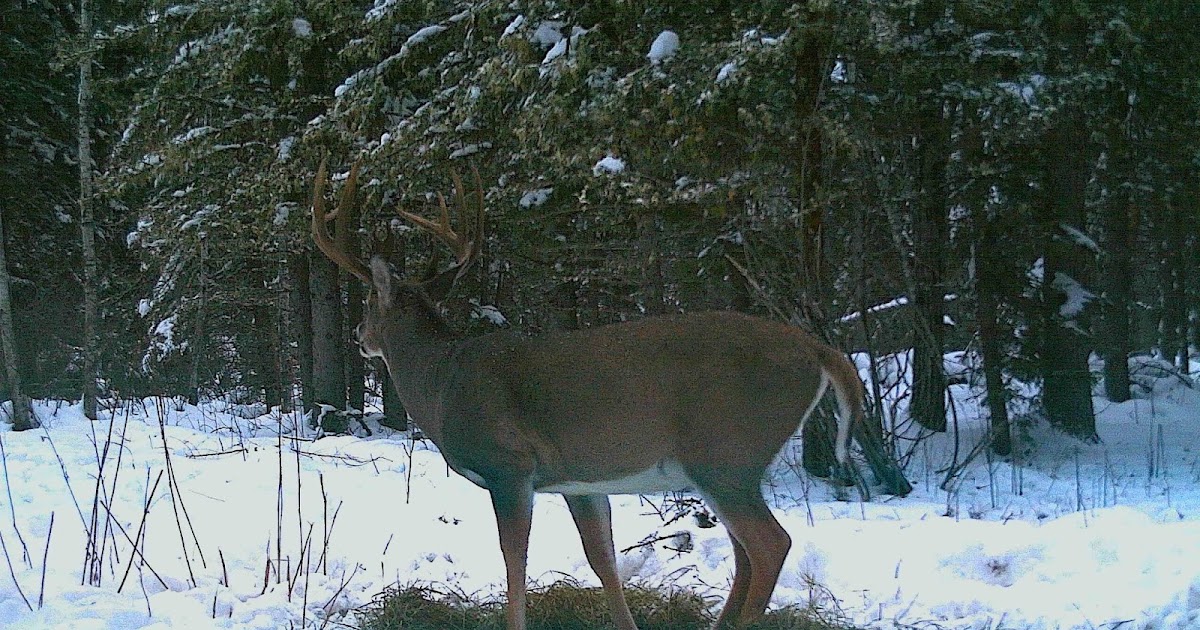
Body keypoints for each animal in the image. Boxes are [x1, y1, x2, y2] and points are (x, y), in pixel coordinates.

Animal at [311, 158, 884, 630]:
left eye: (368, 301)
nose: (359, 336)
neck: (441, 382)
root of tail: (817, 349)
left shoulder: (510, 465)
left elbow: (514, 561)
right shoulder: (580, 481)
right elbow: (602, 561)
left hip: (726, 450)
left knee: (769, 544)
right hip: (731, 465)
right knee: (745, 552)